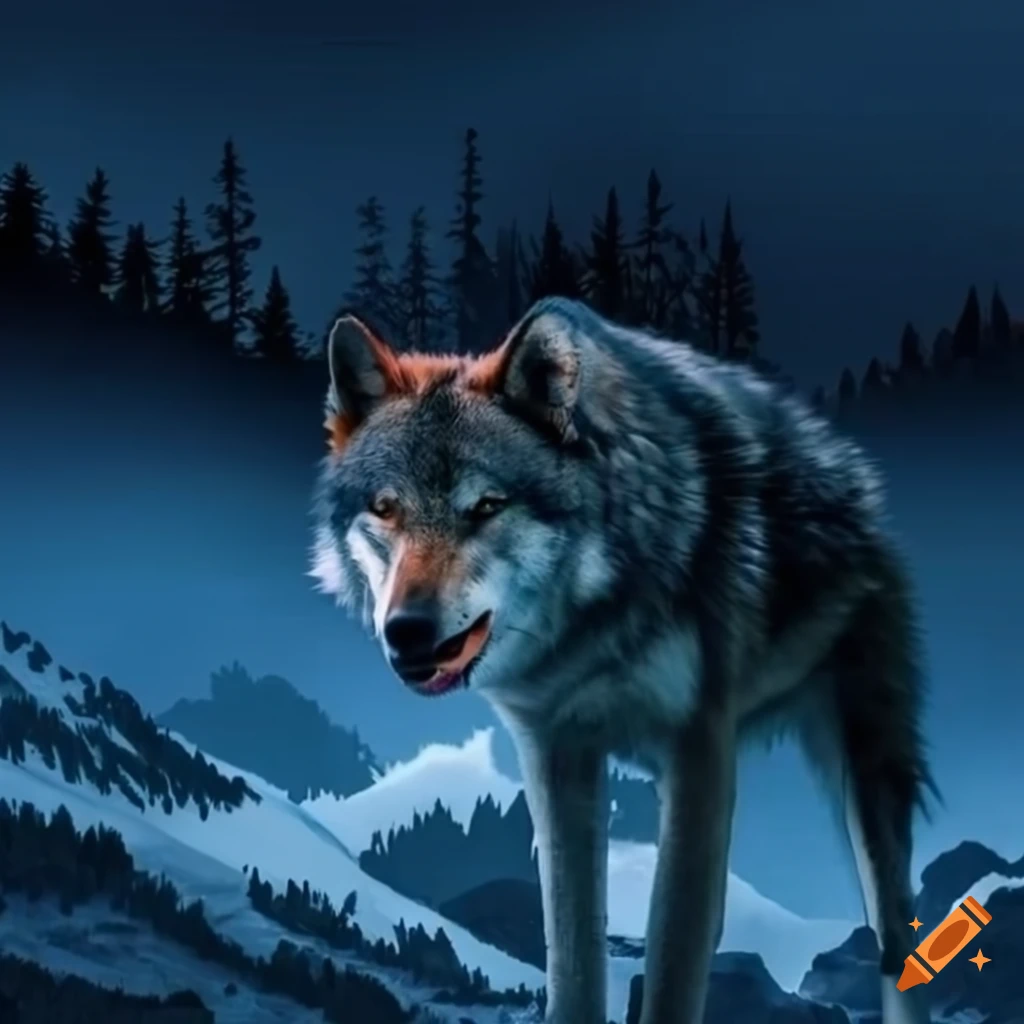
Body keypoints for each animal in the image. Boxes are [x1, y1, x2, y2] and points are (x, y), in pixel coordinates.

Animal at [310, 296, 936, 1024]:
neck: (591, 627)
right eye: (386, 509)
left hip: (867, 778)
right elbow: (573, 955)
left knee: (896, 940)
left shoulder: (699, 751)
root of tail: (849, 464)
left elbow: (673, 962)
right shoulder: (554, 750)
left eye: (487, 506)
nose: (408, 631)